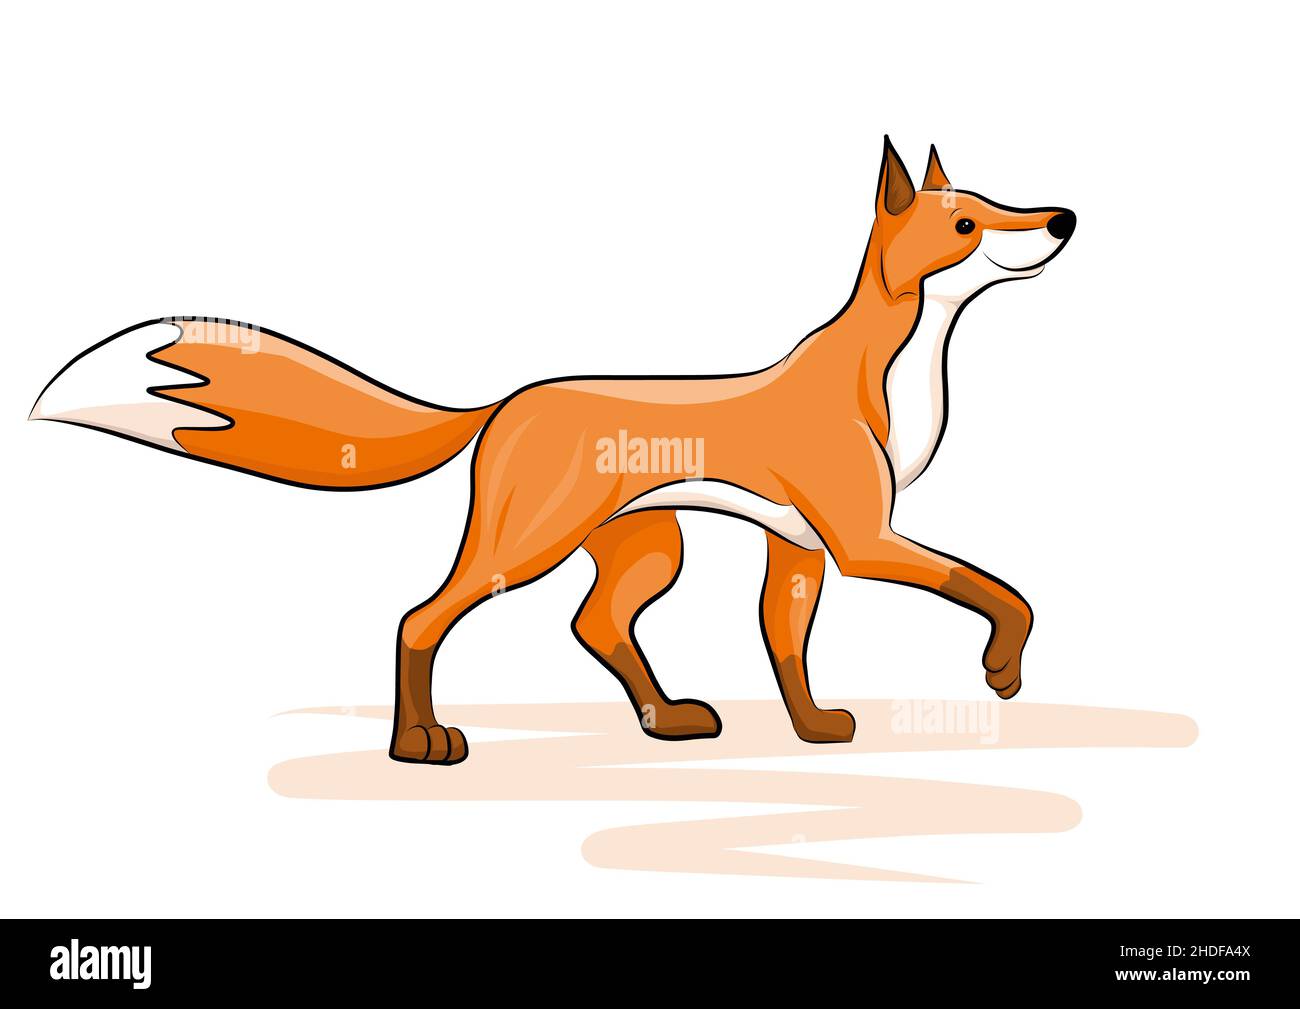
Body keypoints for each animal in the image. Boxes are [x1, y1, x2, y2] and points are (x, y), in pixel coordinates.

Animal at [30, 138, 1075, 765]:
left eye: (999, 200)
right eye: (967, 222)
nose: (1063, 219)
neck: (888, 376)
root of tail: (502, 402)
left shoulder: (801, 547)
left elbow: (787, 647)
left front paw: (816, 731)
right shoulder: (861, 540)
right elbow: (1000, 592)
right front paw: (1003, 672)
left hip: (648, 546)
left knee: (596, 624)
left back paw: (666, 720)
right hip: (522, 544)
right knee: (421, 618)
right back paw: (421, 744)